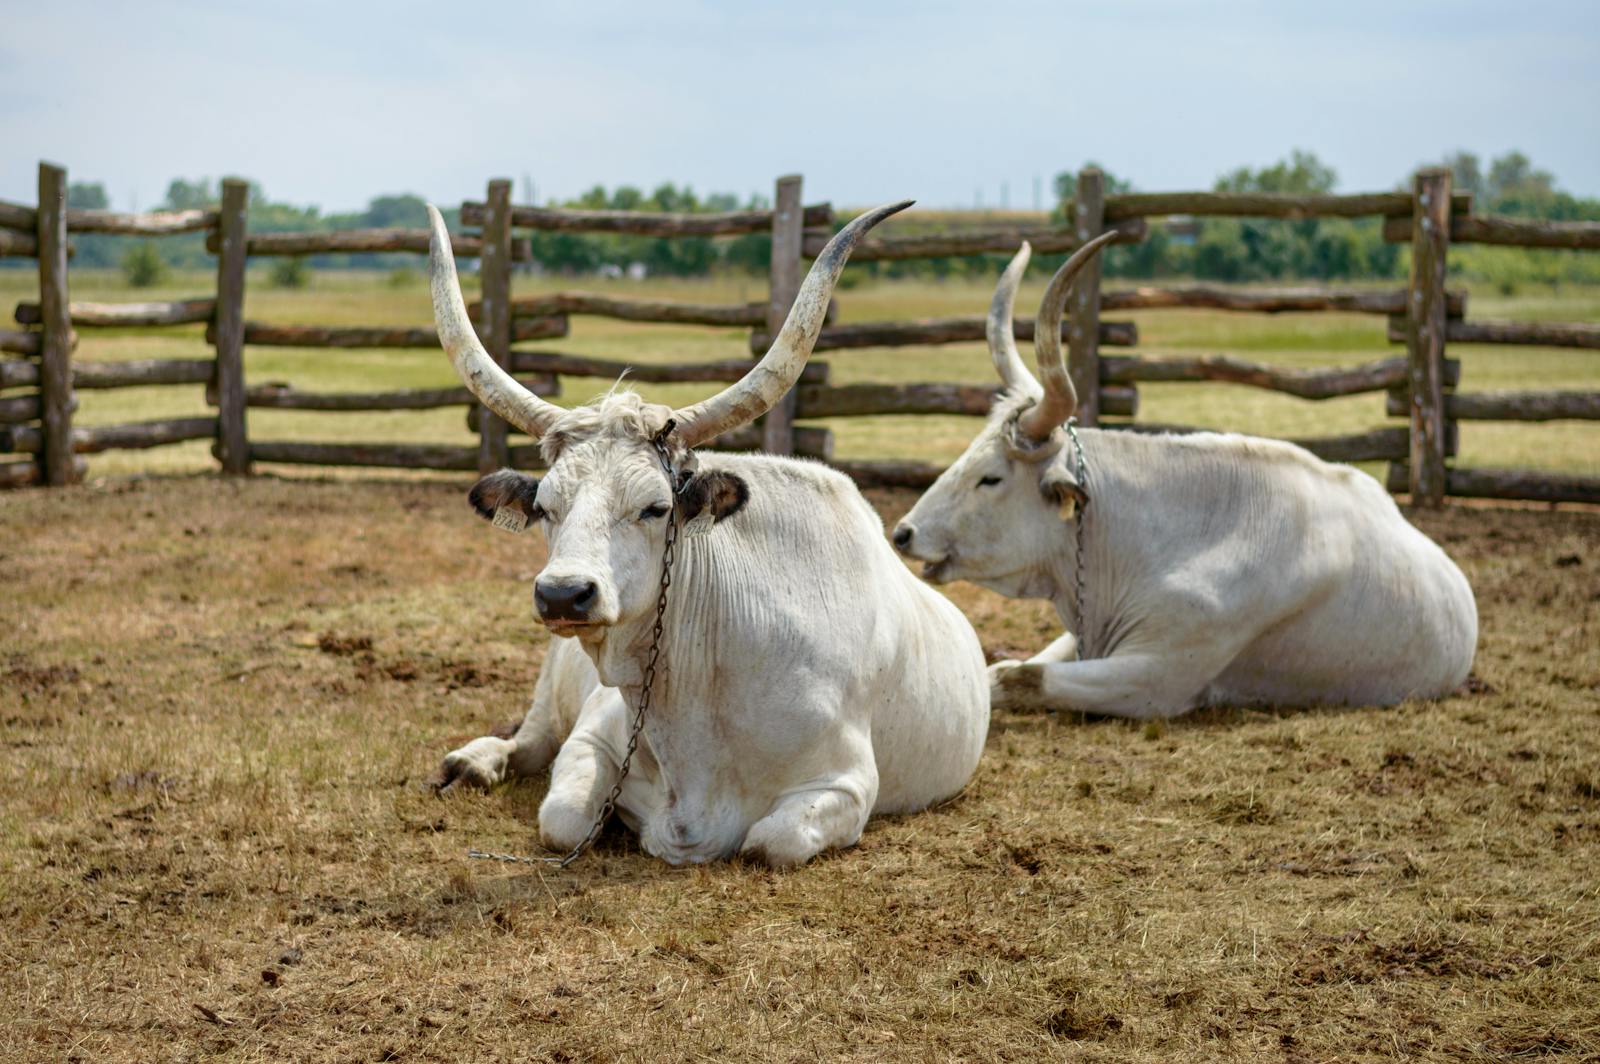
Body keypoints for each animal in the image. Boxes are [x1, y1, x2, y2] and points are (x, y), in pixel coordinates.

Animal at [426, 202, 989, 867]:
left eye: (655, 508)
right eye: (544, 508)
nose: (563, 594)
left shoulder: (845, 785)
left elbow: (770, 842)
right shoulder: (590, 736)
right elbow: (563, 818)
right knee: (530, 739)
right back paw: (473, 761)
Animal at [891, 237, 1478, 719]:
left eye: (990, 478)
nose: (903, 533)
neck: (1165, 538)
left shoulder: (1154, 678)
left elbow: (1017, 679)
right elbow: (1003, 668)